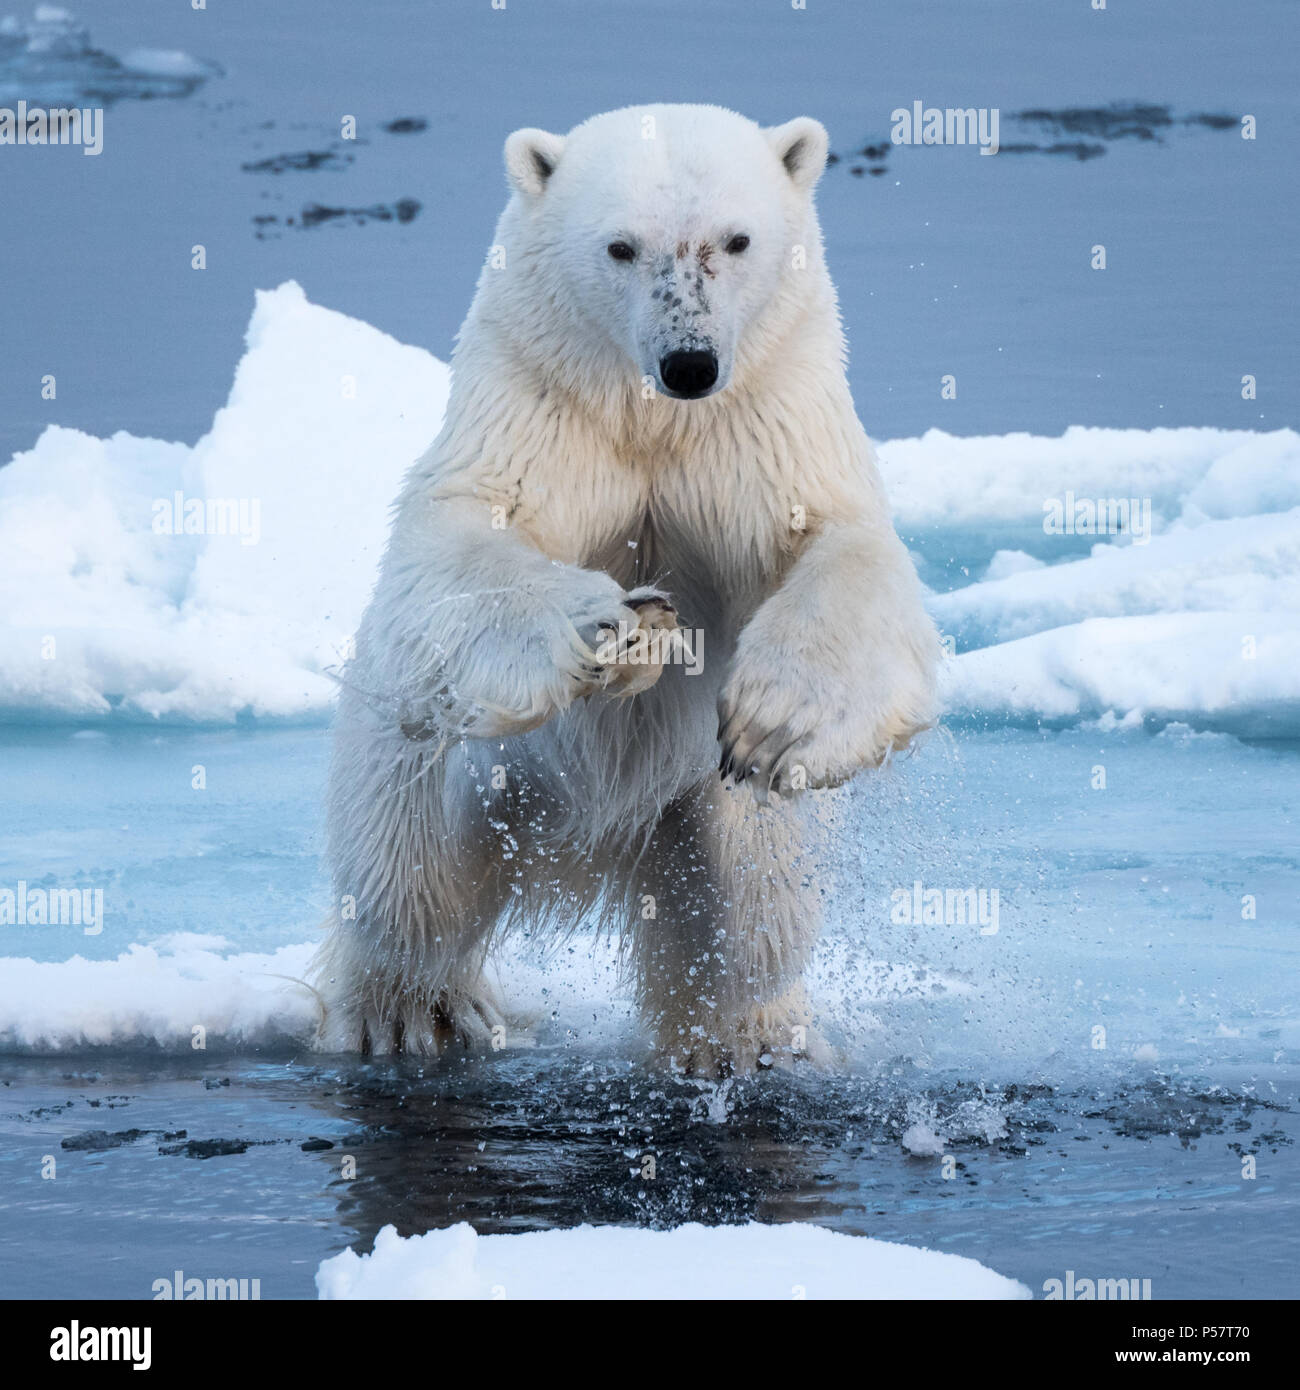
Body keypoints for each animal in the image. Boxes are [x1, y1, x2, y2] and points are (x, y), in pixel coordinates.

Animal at [315, 103, 939, 1076]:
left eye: (735, 239)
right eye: (620, 247)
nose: (690, 362)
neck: (651, 417)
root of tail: (591, 855)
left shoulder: (764, 420)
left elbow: (833, 544)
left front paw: (775, 722)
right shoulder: (541, 405)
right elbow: (463, 540)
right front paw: (620, 629)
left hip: (698, 809)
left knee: (754, 898)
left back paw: (750, 1038)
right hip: (431, 772)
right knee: (406, 877)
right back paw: (415, 1013)